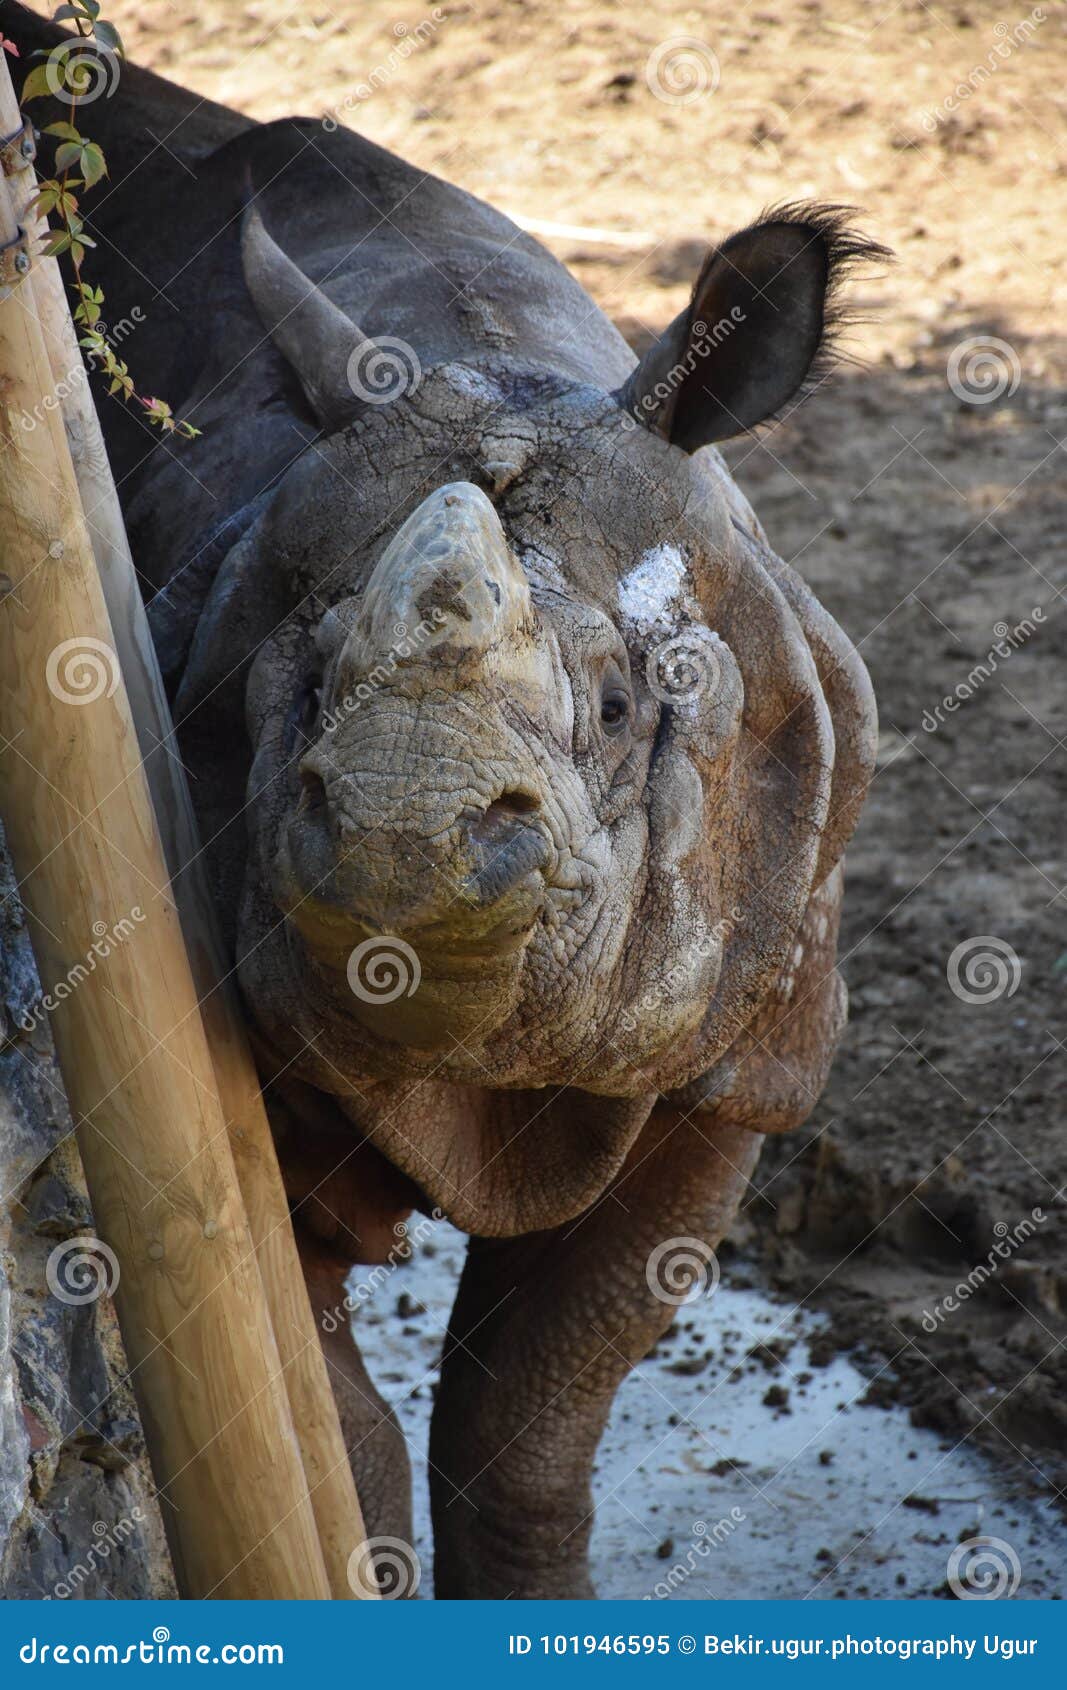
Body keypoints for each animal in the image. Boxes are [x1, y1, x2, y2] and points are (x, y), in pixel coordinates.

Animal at [4, 3, 882, 1598]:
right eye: (296, 686)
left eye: (619, 710)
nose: (399, 842)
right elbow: (341, 1440)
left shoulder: (743, 1056)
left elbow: (524, 1418)